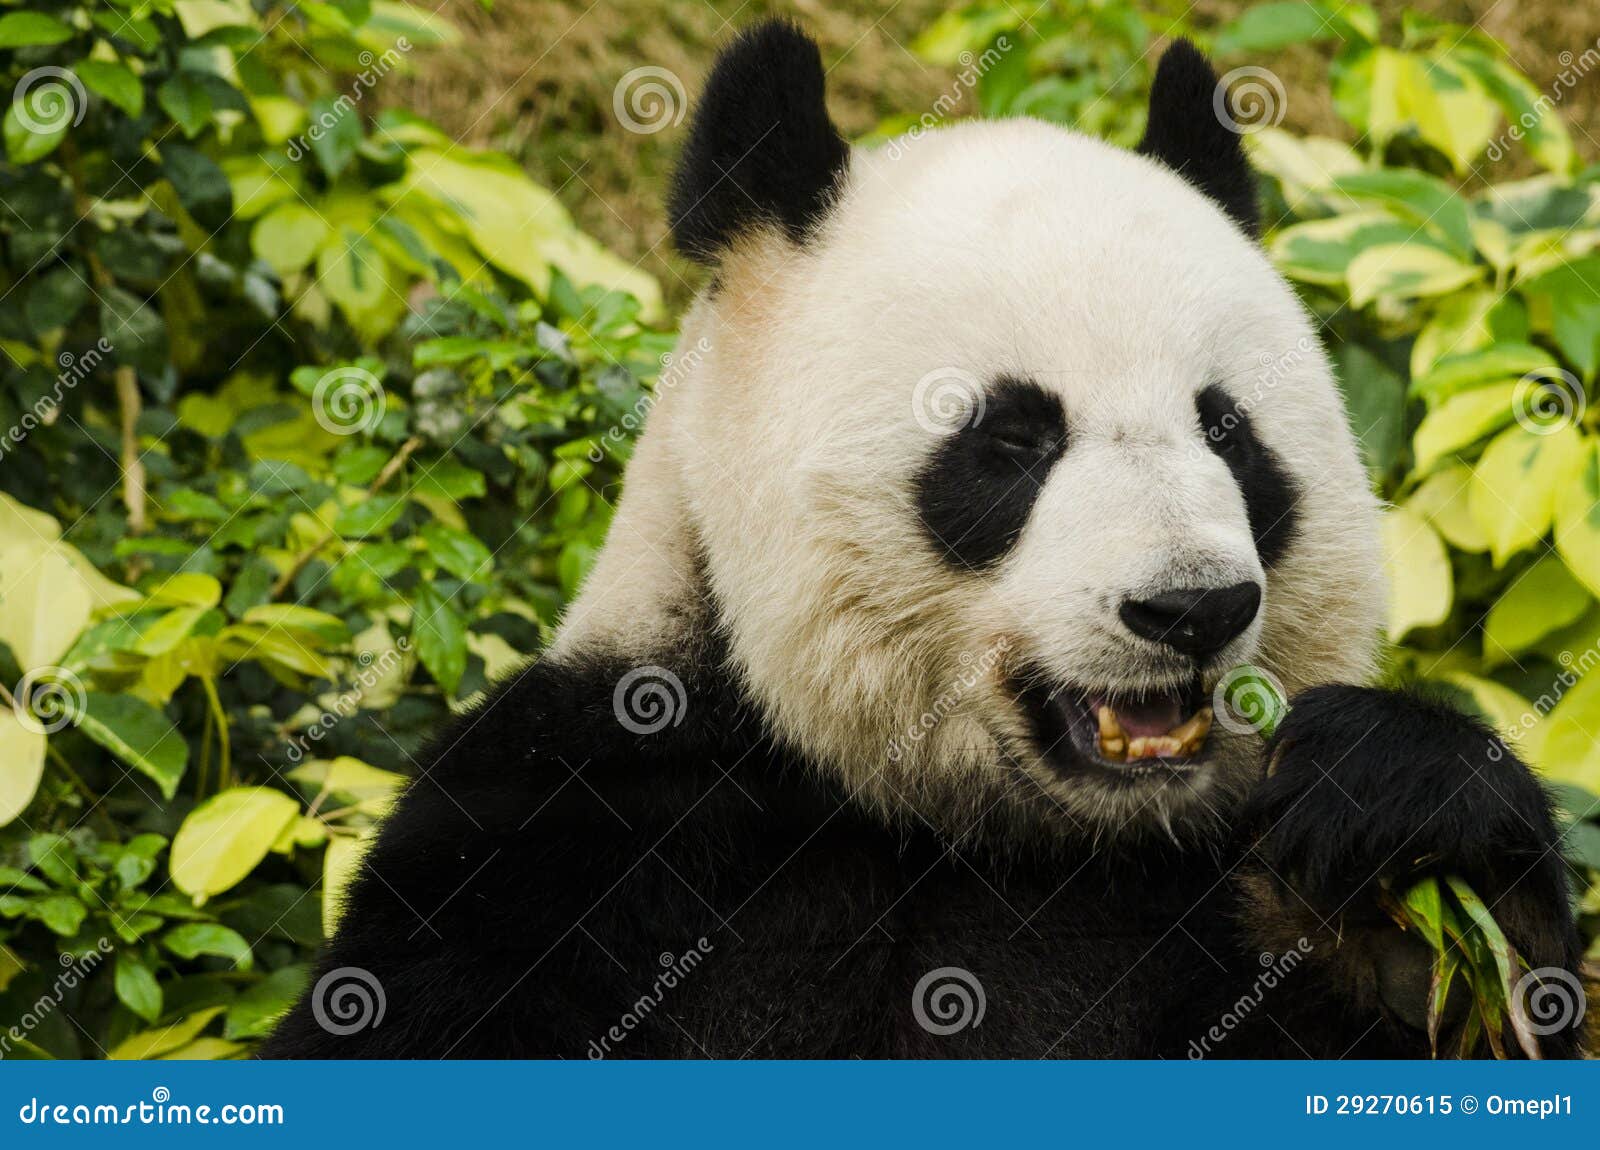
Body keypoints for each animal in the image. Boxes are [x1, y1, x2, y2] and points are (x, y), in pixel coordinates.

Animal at [263, 21, 1584, 1059]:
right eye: (1011, 439)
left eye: (1227, 431)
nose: (1190, 608)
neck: (985, 834)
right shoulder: (572, 833)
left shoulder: (1202, 884)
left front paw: (1404, 858)